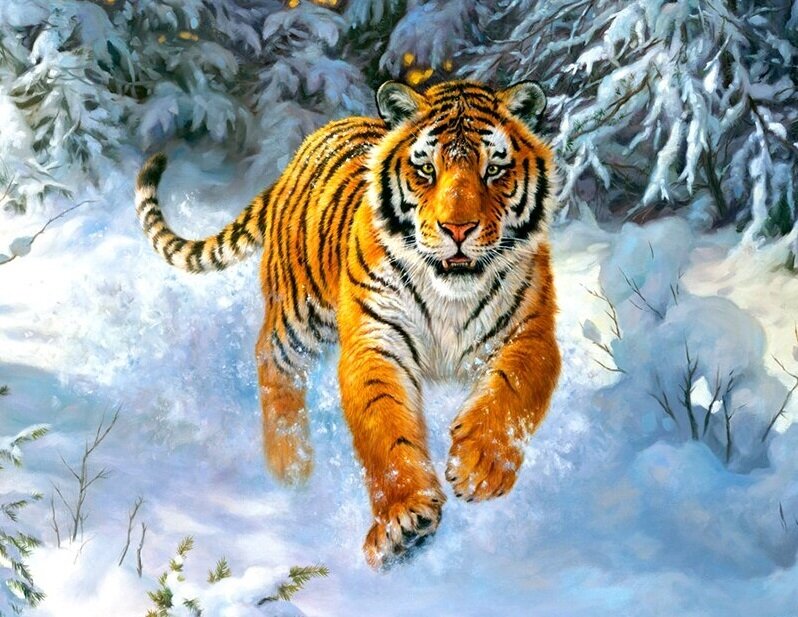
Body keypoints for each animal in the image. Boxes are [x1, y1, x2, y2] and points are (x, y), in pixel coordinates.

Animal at [134, 79, 561, 569]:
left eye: (494, 169)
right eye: (426, 170)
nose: (457, 229)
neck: (450, 294)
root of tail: (301, 152)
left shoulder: (531, 332)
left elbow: (511, 393)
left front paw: (480, 466)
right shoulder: (376, 340)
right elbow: (386, 428)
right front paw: (402, 523)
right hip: (297, 313)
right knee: (272, 361)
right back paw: (290, 468)